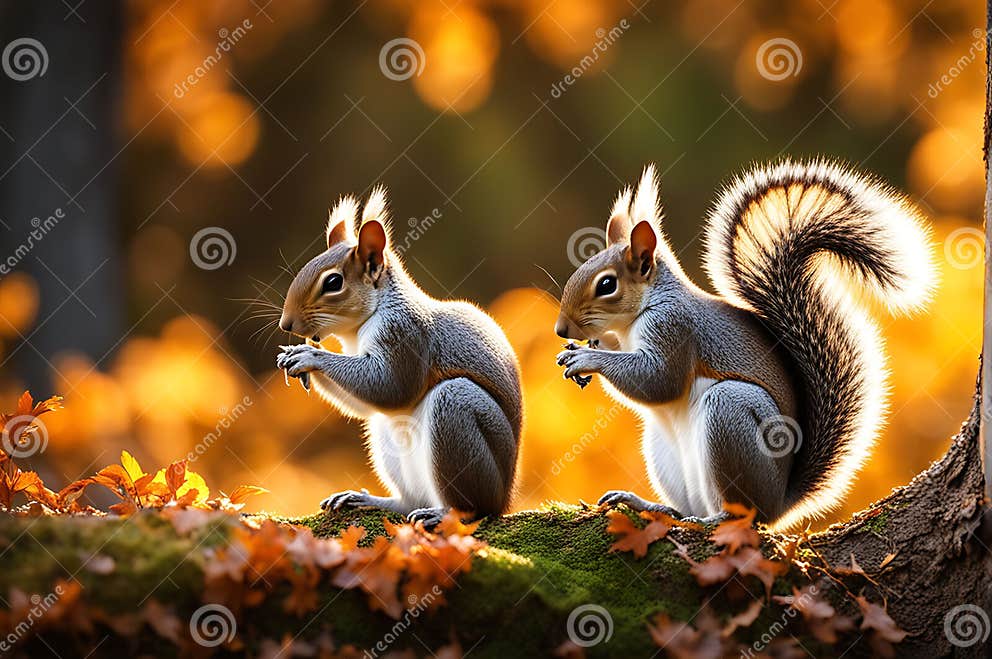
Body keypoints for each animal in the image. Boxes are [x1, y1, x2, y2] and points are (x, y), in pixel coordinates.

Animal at [276, 187, 522, 527]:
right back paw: (366, 500)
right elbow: (364, 403)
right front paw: (292, 356)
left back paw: (443, 513)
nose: (286, 324)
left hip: (457, 409)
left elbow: (390, 386)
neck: (360, 327)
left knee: (473, 508)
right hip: (385, 441)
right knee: (408, 503)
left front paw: (309, 356)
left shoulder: (405, 333)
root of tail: (505, 498)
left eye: (333, 283)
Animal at [554, 159, 935, 528]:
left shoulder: (673, 327)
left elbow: (659, 381)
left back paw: (717, 518)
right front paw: (585, 348)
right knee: (686, 510)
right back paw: (650, 505)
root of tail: (779, 502)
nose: (561, 329)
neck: (638, 316)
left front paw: (587, 358)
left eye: (607, 285)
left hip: (730, 410)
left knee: (743, 515)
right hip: (663, 451)